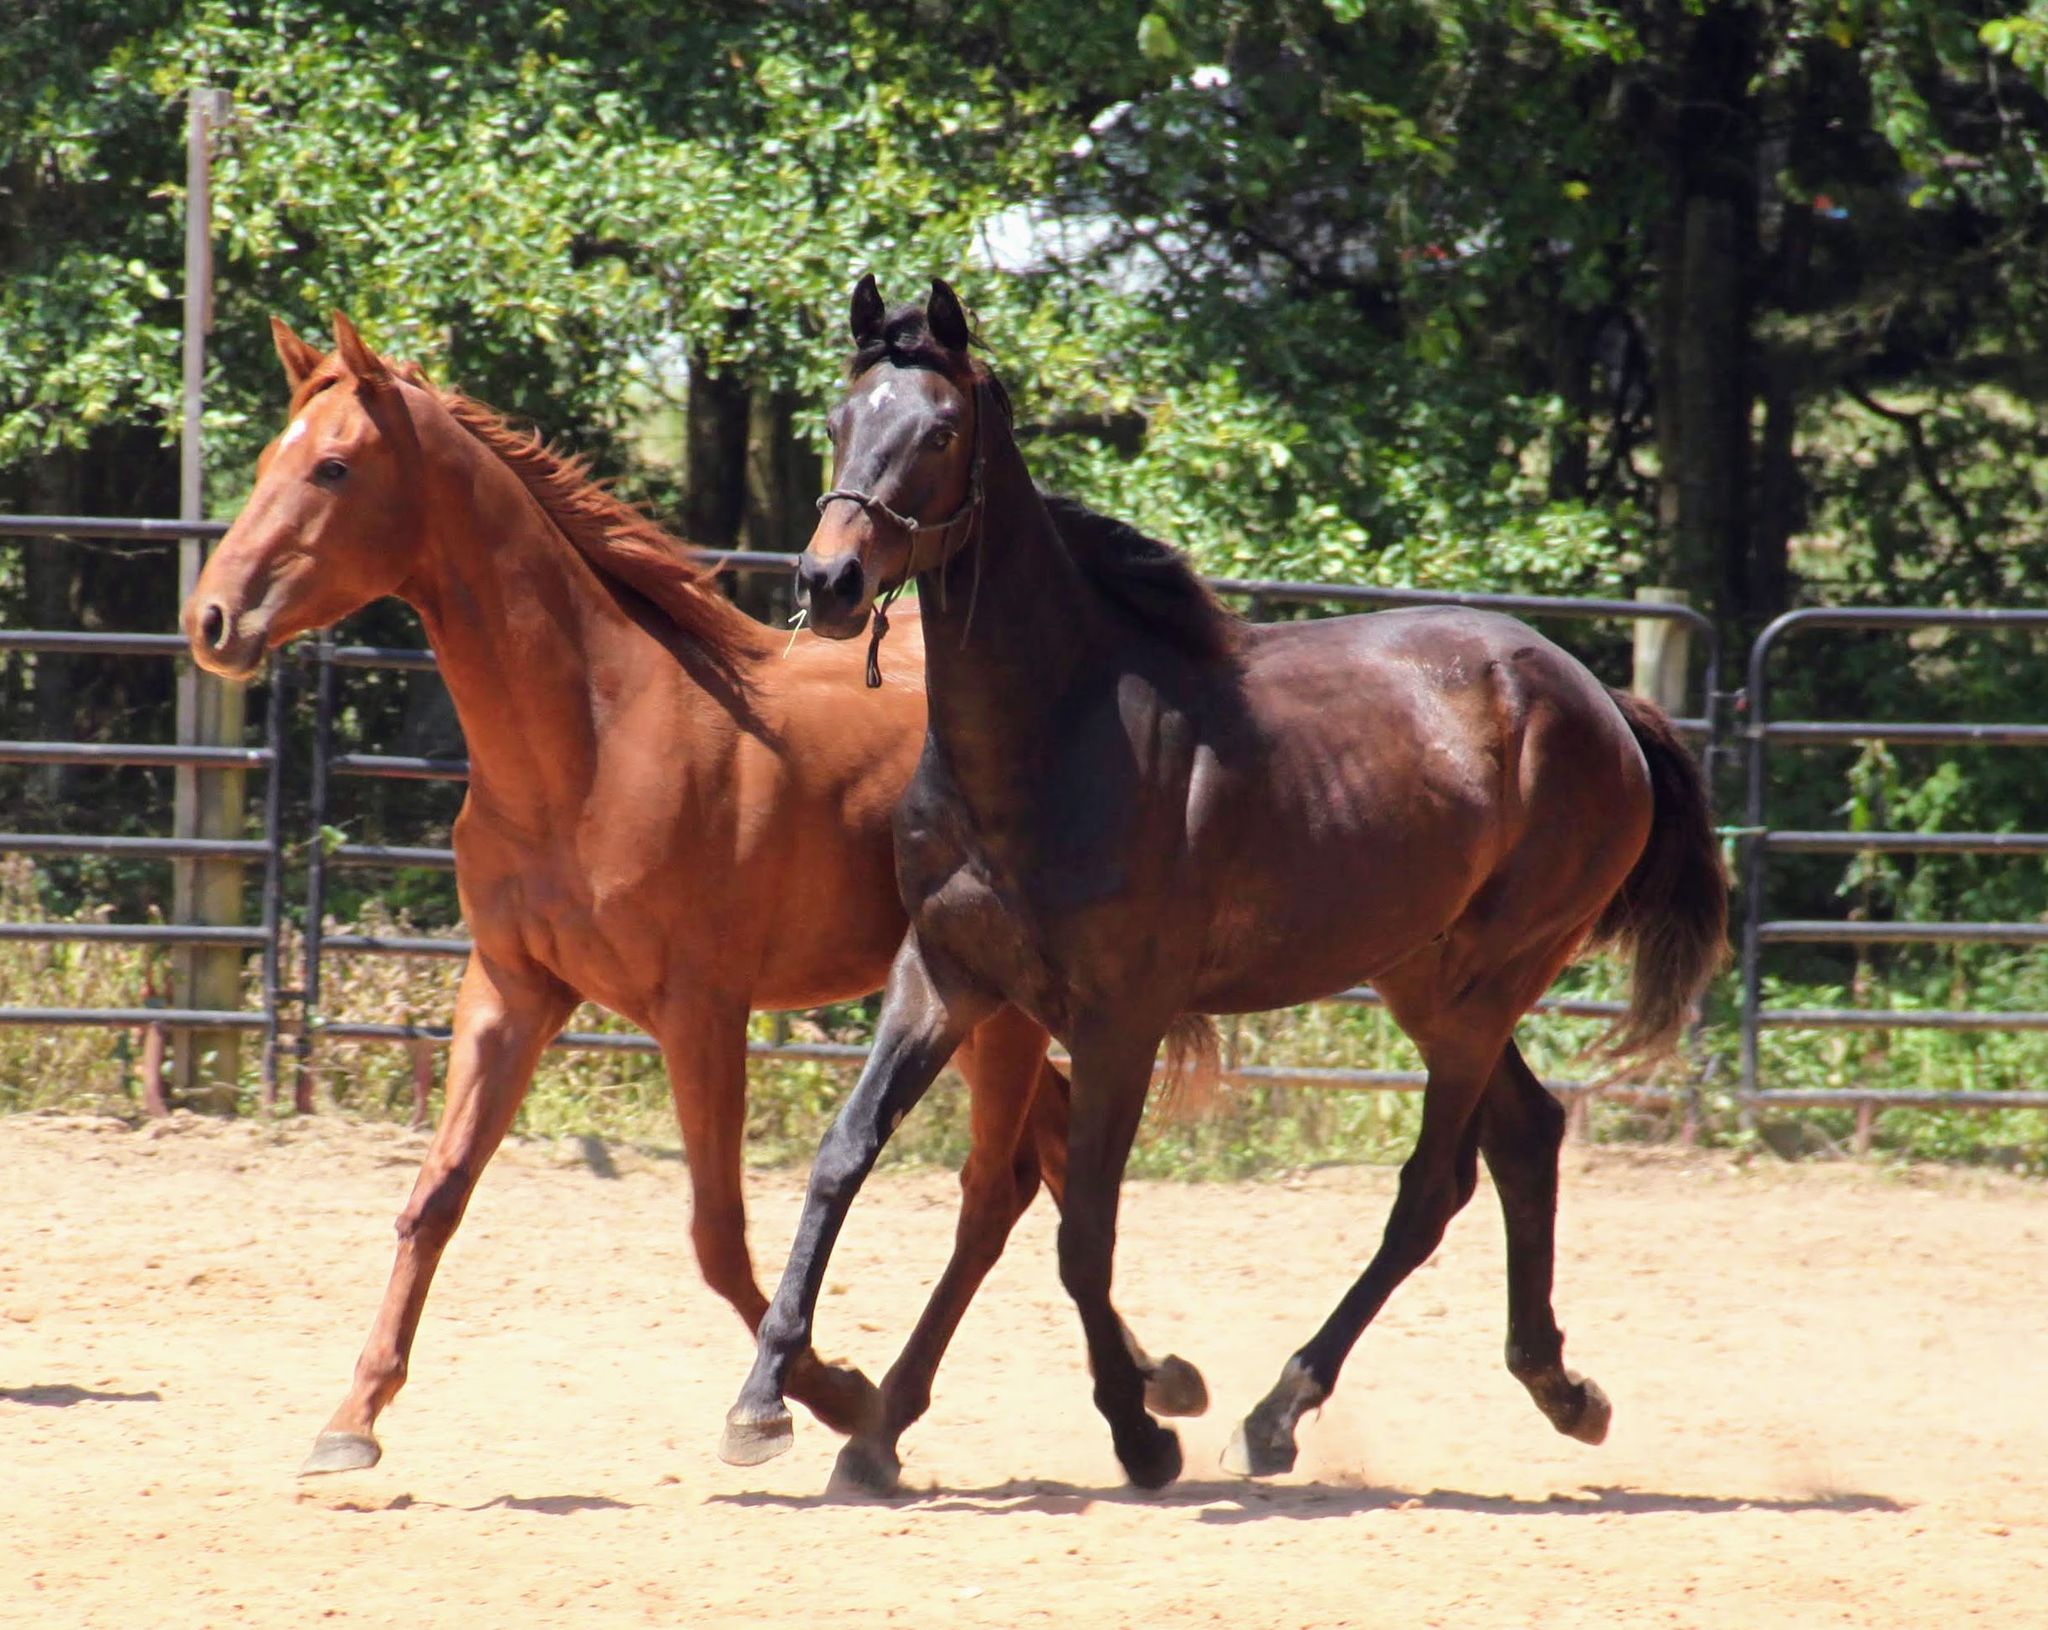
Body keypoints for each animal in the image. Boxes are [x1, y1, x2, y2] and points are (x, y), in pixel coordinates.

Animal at [182, 312, 1205, 1476]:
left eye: (334, 467)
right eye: (273, 459)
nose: (211, 619)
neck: (592, 741)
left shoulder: (701, 1014)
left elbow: (718, 1238)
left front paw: (820, 1395)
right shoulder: (509, 993)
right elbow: (433, 1198)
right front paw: (351, 1420)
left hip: (997, 1012)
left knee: (1008, 1184)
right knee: (1051, 1159)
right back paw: (1156, 1380)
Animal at [721, 277, 1728, 1494]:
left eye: (941, 431)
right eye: (837, 418)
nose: (828, 581)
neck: (1047, 736)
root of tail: (1600, 701)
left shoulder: (1120, 1019)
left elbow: (1083, 1235)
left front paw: (1141, 1432)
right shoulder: (944, 980)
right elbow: (841, 1162)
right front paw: (769, 1405)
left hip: (1486, 986)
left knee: (1430, 1191)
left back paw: (1278, 1414)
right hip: (1426, 980)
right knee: (1524, 1139)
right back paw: (1560, 1391)